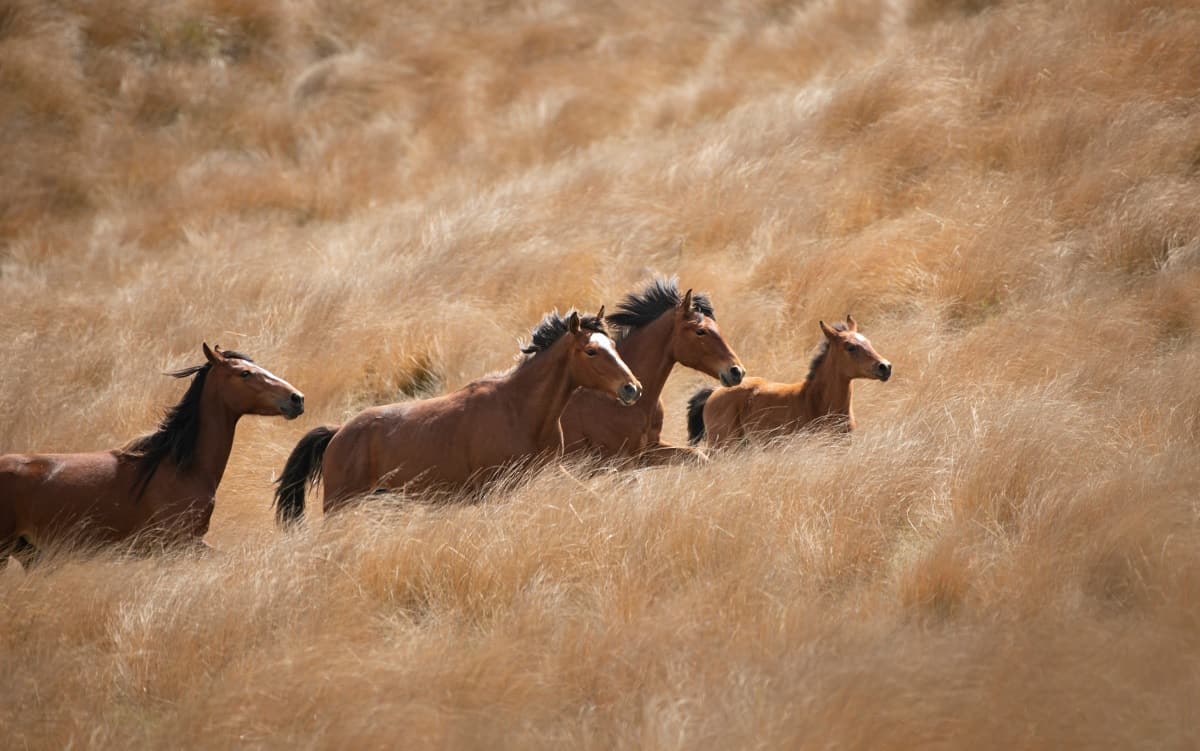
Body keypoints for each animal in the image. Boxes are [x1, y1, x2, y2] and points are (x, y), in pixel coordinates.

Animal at [274, 310, 642, 523]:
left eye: (612, 346)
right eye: (591, 351)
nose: (632, 388)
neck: (520, 410)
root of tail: (338, 434)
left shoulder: (551, 472)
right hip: (342, 506)